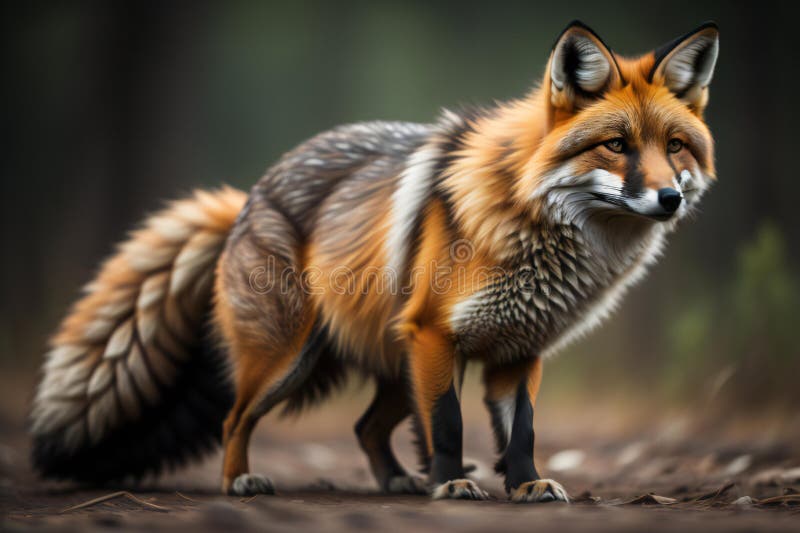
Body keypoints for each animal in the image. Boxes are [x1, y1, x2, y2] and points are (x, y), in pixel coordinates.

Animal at [30, 21, 719, 502]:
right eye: (616, 146)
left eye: (674, 146)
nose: (669, 198)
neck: (526, 220)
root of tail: (252, 192)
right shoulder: (437, 335)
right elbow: (448, 426)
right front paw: (453, 484)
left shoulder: (519, 348)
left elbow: (519, 433)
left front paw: (524, 485)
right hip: (291, 358)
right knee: (233, 420)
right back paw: (239, 482)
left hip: (393, 364)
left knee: (365, 428)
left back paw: (397, 481)